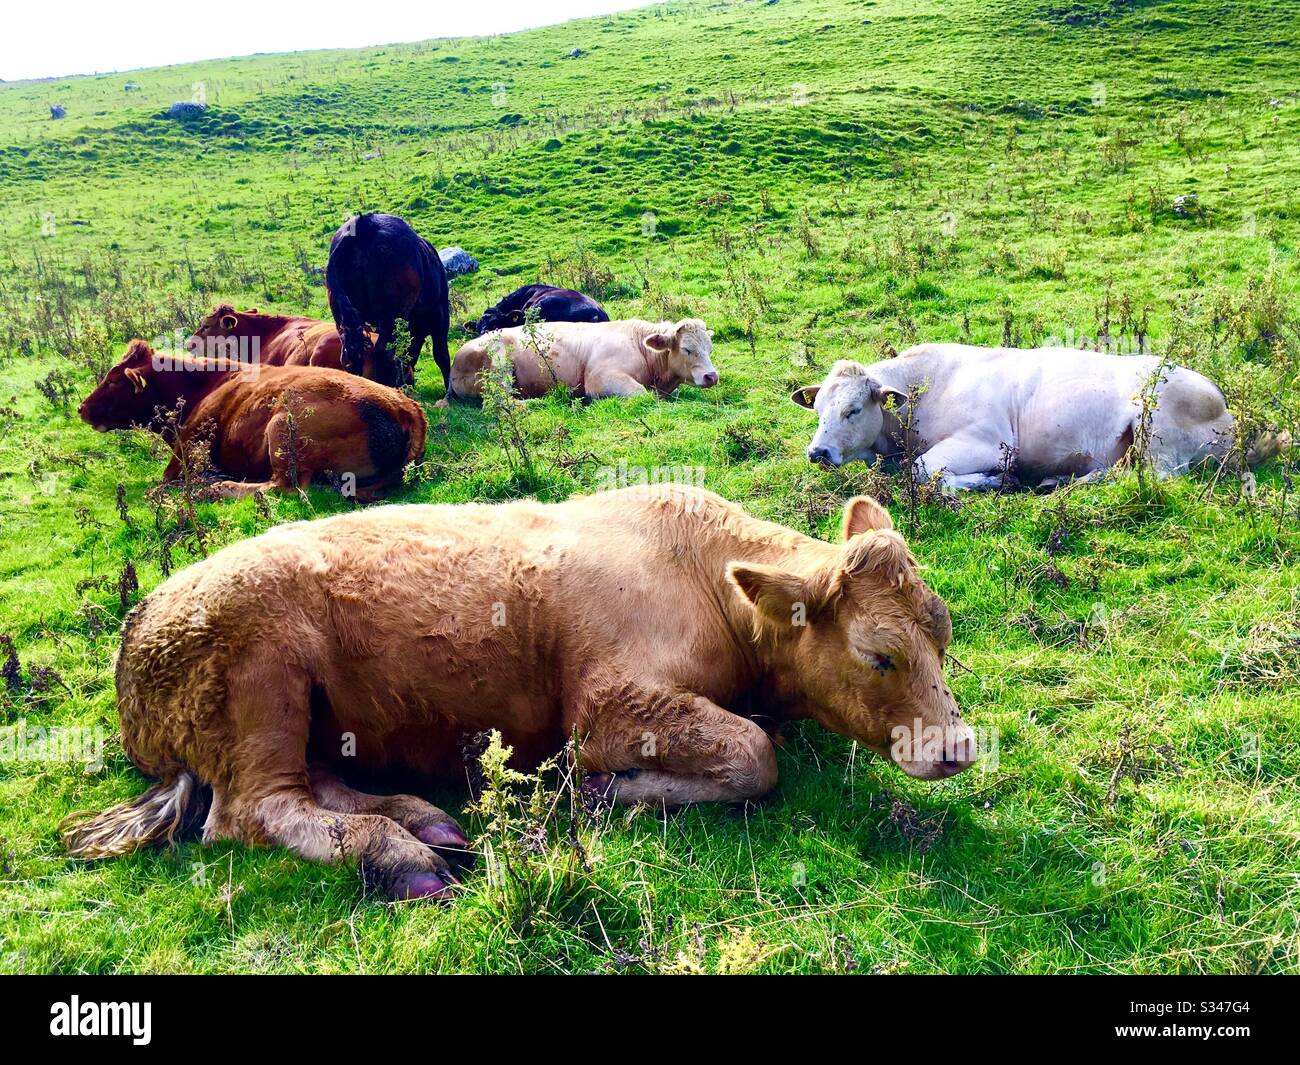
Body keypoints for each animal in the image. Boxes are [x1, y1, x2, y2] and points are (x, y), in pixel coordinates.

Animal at [62, 485, 975, 900]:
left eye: (942, 630)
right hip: (263, 689)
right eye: (878, 653)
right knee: (252, 812)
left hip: (307, 718)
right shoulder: (607, 709)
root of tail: (142, 623)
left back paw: (421, 819)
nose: (958, 746)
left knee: (314, 784)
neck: (704, 573)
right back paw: (400, 853)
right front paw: (607, 792)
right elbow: (755, 754)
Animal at [79, 338, 426, 500]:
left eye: (114, 380)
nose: (82, 408)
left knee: (283, 487)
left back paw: (217, 487)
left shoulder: (184, 453)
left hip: (281, 429)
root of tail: (407, 409)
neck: (203, 383)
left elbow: (161, 485)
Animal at [327, 212, 451, 391]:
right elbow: (441, 354)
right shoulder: (440, 315)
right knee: (384, 352)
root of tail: (365, 224)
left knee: (351, 355)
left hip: (342, 318)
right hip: (391, 316)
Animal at [446, 318, 718, 402]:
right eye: (687, 349)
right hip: (498, 366)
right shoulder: (600, 379)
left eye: (710, 348)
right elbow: (642, 394)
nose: (712, 376)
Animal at [793, 344, 1291, 490]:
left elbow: (921, 471)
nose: (817, 453)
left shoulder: (987, 440)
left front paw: (991, 482)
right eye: (817, 409)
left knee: (1150, 476)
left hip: (1157, 432)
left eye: (853, 409)